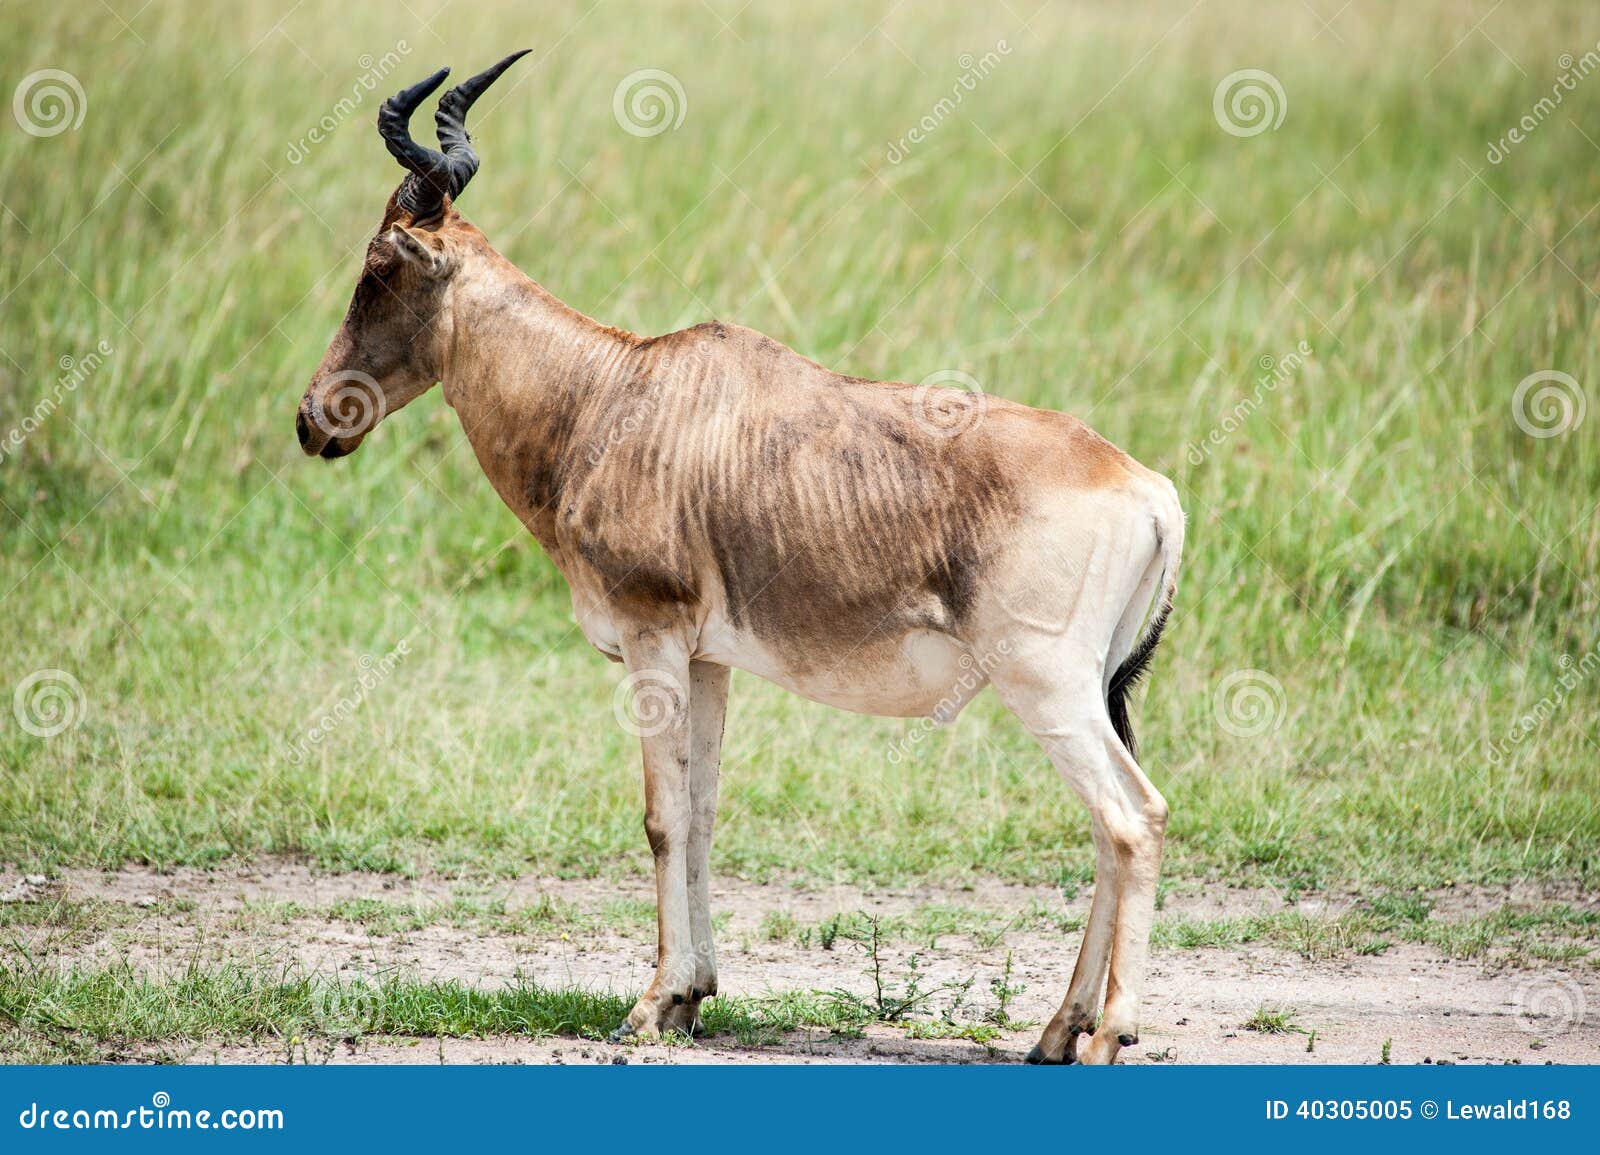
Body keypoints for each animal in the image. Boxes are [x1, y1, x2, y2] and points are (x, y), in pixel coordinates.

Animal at [295, 53, 1184, 1065]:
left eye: (377, 266)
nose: (314, 420)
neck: (616, 391)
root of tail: (1147, 486)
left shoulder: (648, 640)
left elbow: (660, 816)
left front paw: (648, 1004)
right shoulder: (708, 658)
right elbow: (704, 811)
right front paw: (693, 996)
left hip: (1045, 682)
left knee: (1132, 820)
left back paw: (1108, 1032)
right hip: (1091, 690)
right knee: (1106, 829)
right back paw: (1057, 1029)